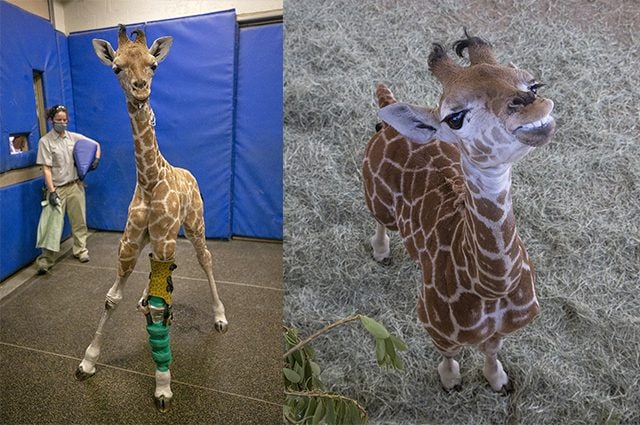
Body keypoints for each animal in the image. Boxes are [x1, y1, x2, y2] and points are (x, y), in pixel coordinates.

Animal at [74, 25, 228, 412]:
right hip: (157, 239)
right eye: (116, 67)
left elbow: (162, 310)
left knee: (206, 259)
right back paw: (142, 300)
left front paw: (162, 386)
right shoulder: (130, 242)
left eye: (153, 65)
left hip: (194, 225)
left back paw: (220, 317)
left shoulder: (164, 237)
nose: (141, 88)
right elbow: (111, 299)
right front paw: (87, 362)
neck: (149, 179)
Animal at [363, 33, 555, 392]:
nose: (532, 104)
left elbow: (492, 350)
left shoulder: (505, 328)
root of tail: (386, 112)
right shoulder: (434, 324)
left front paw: (498, 381)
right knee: (380, 222)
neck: (492, 288)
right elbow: (449, 354)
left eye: (534, 84)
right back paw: (381, 253)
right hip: (375, 198)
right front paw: (451, 382)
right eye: (455, 118)